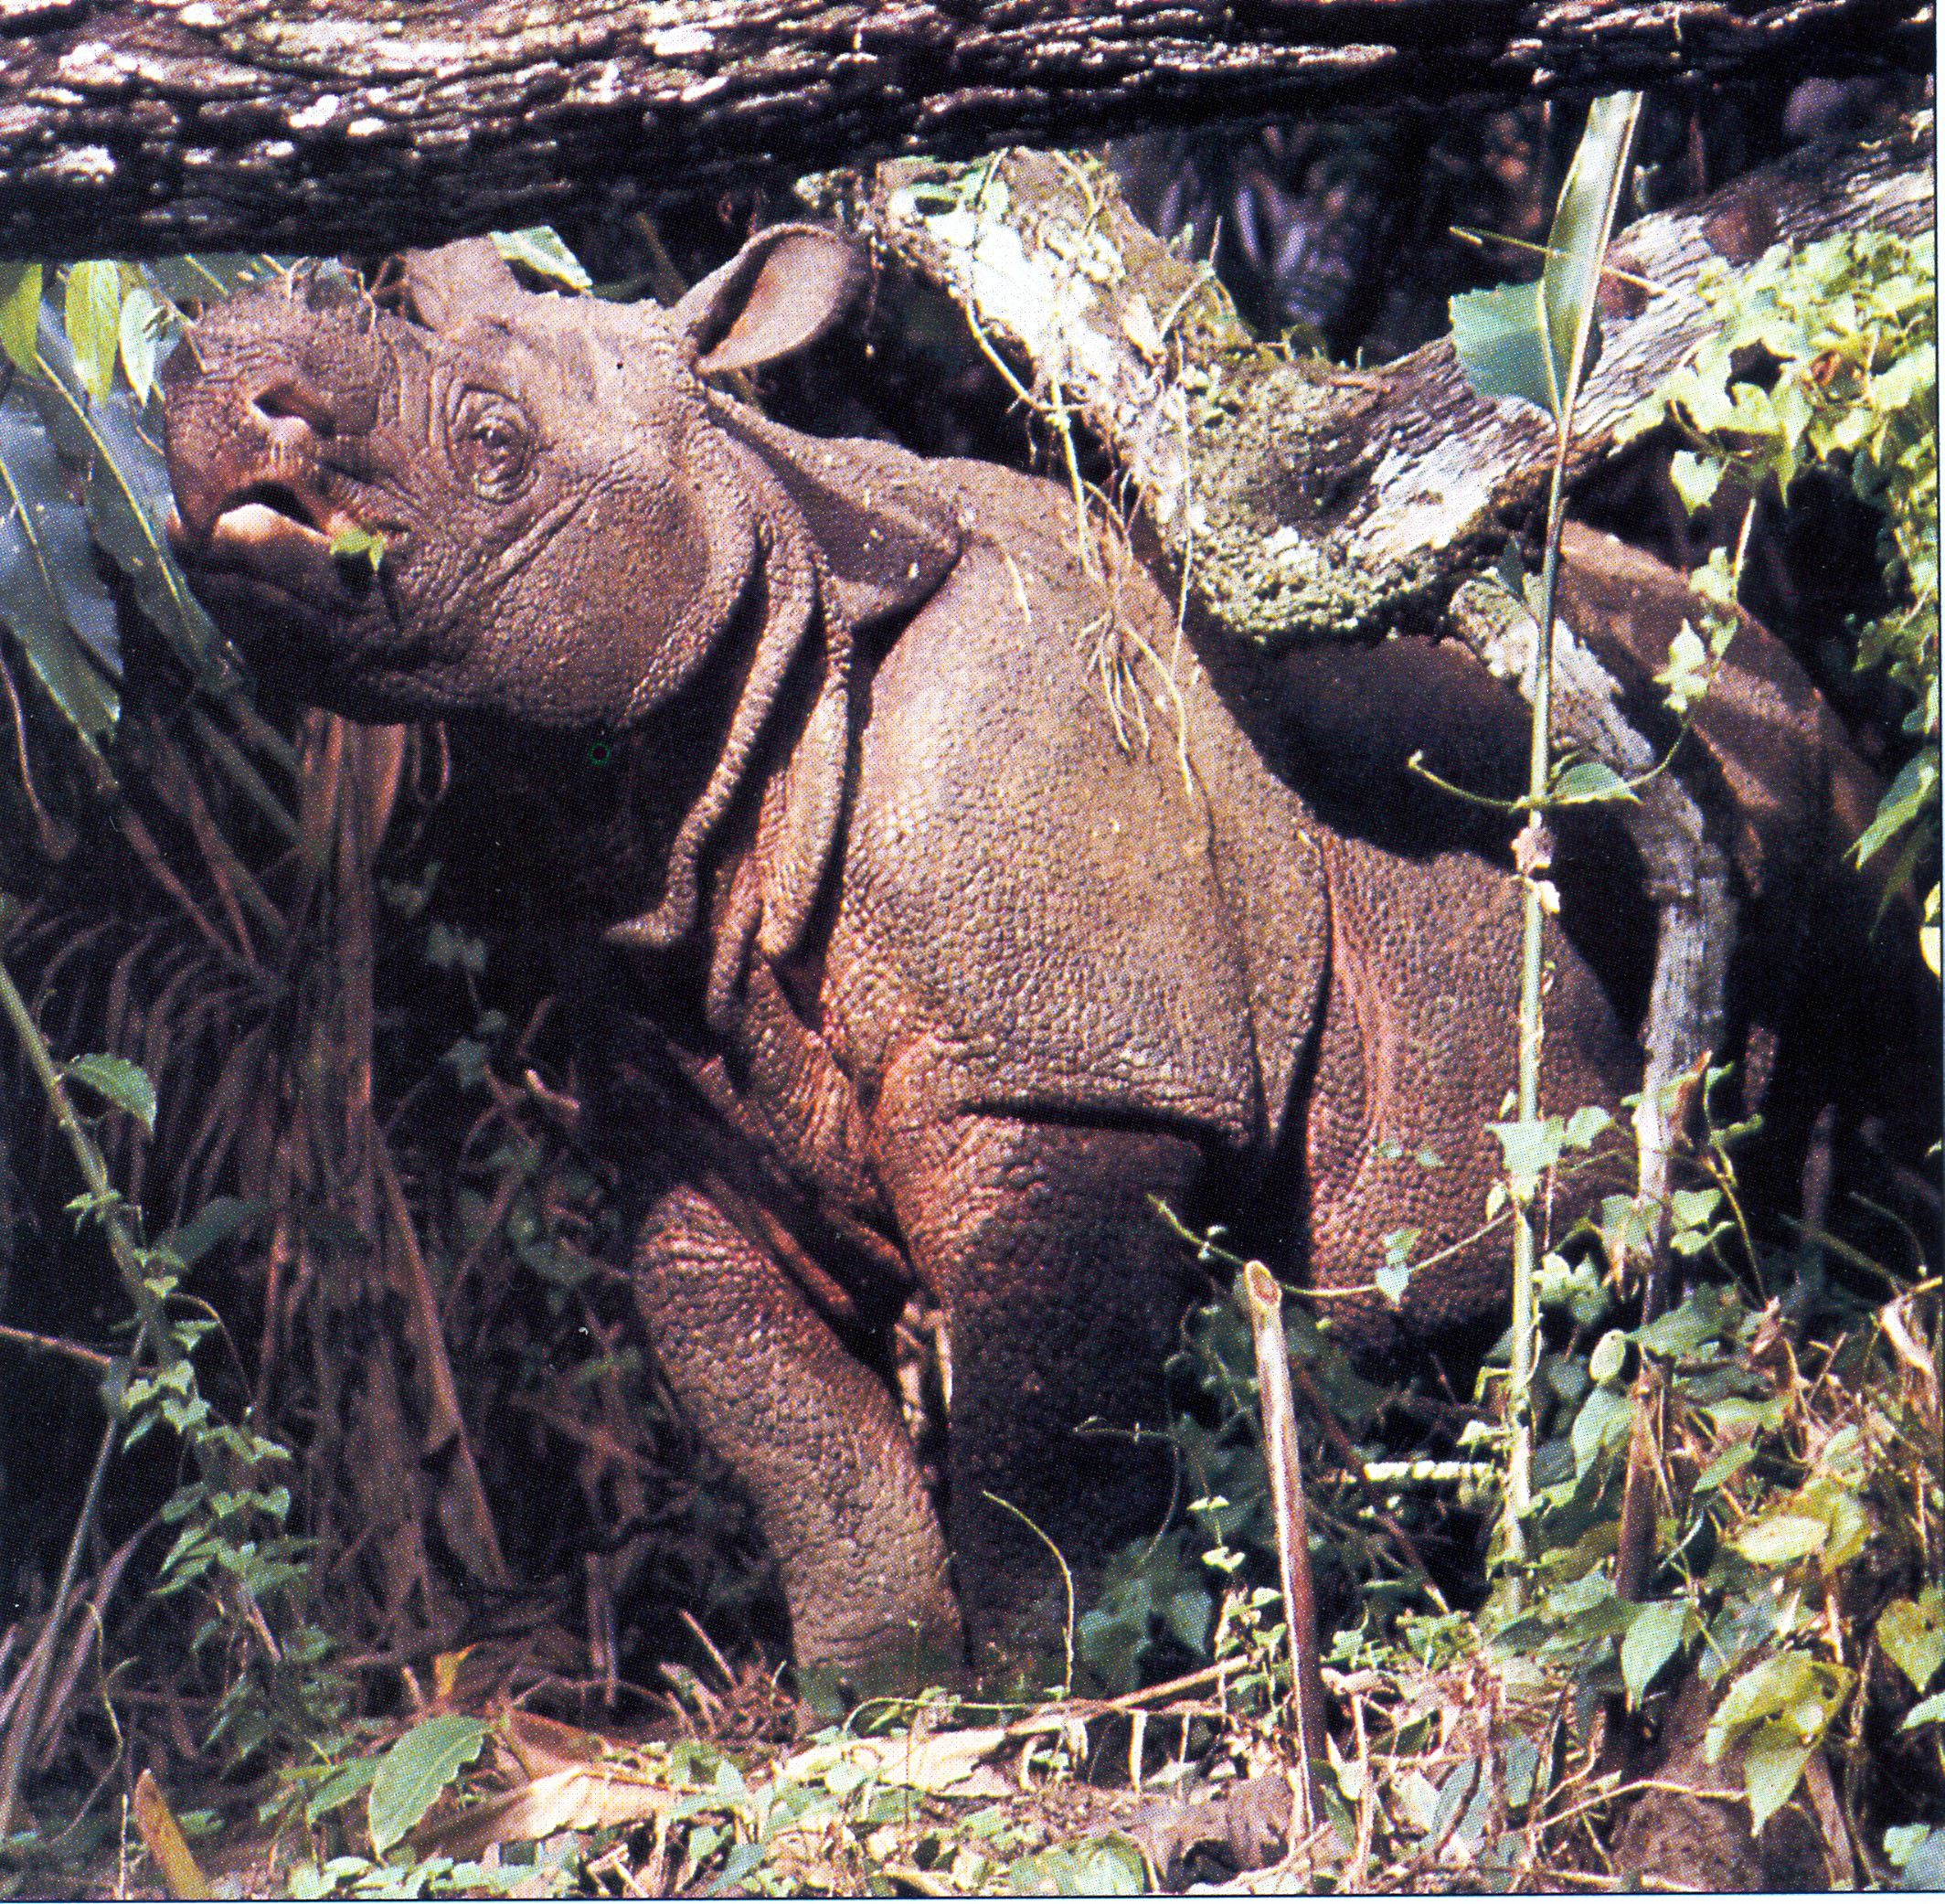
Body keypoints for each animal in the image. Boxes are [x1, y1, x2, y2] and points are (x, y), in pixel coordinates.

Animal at [158, 227, 1881, 1684]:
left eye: (494, 444)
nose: (208, 408)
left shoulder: (1069, 1065)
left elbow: (1048, 1414)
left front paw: (1058, 1688)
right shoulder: (687, 1118)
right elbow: (796, 1434)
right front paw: (872, 1696)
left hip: (1790, 804)